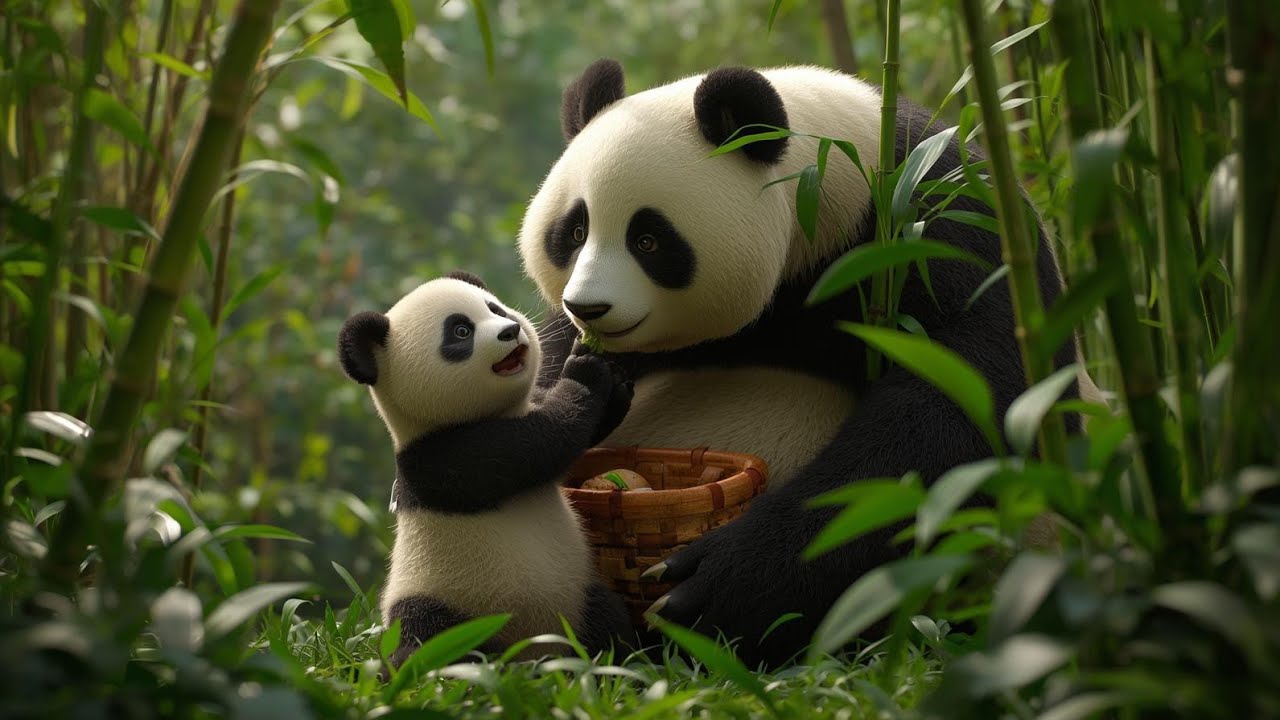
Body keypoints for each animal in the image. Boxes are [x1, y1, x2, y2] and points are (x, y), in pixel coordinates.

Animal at [337, 270, 633, 666]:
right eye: (461, 331)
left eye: (495, 308)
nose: (510, 330)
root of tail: (533, 652)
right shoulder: (448, 457)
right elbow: (540, 443)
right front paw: (587, 372)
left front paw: (616, 381)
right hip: (445, 598)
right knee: (431, 637)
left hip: (577, 595)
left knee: (606, 620)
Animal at [518, 60, 1103, 667]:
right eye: (575, 231)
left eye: (649, 240)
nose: (589, 307)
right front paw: (592, 385)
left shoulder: (940, 218)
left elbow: (965, 402)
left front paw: (712, 590)